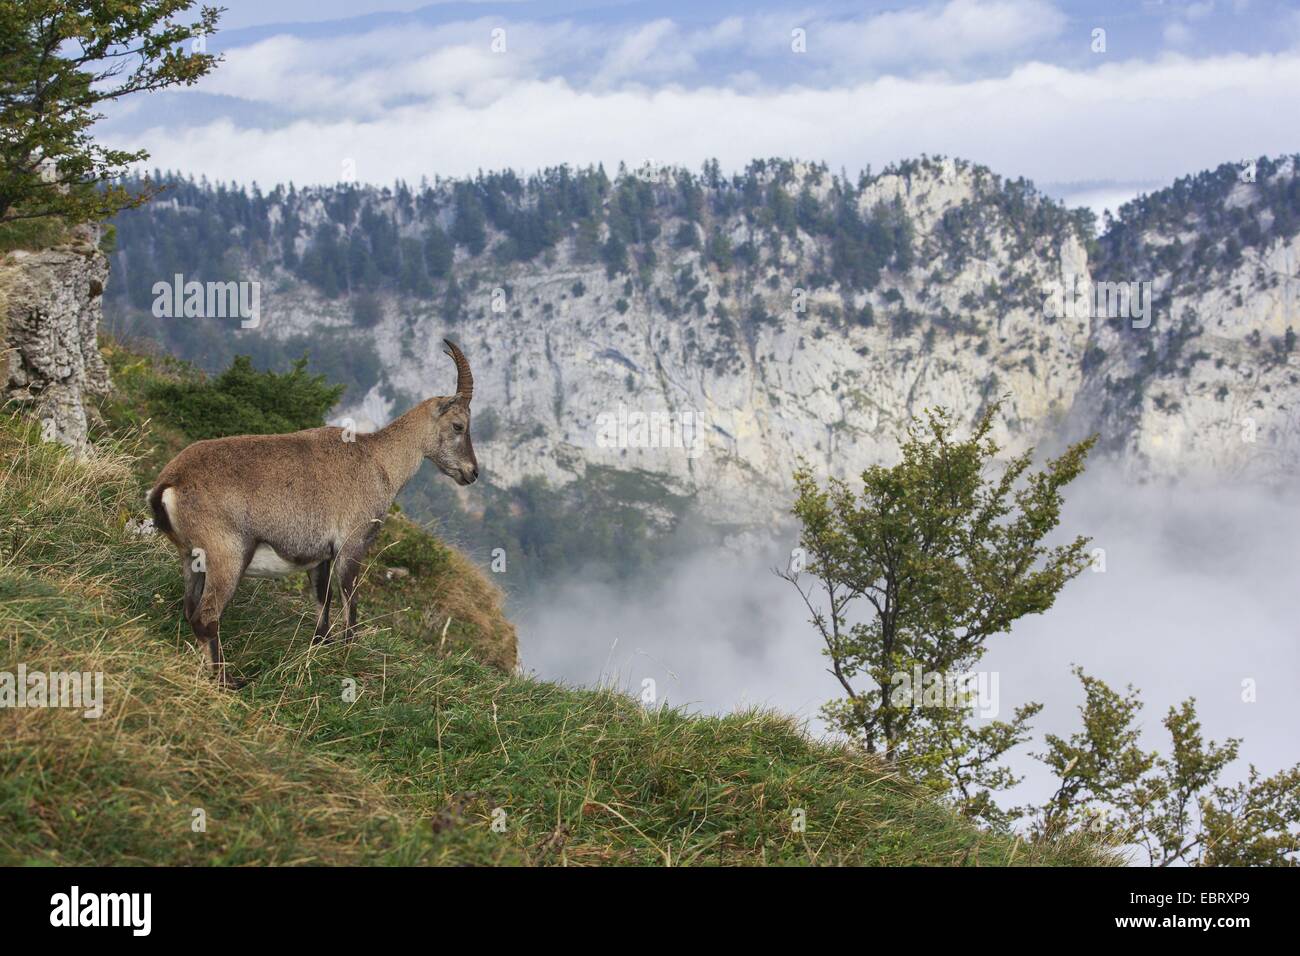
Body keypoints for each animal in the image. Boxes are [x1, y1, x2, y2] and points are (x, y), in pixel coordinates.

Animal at [147, 340, 479, 688]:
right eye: (459, 425)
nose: (472, 472)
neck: (380, 461)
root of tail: (168, 485)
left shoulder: (319, 556)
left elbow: (323, 602)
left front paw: (321, 647)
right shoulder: (351, 545)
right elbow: (350, 602)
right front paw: (348, 656)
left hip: (190, 557)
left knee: (190, 609)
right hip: (228, 554)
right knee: (206, 616)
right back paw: (229, 681)